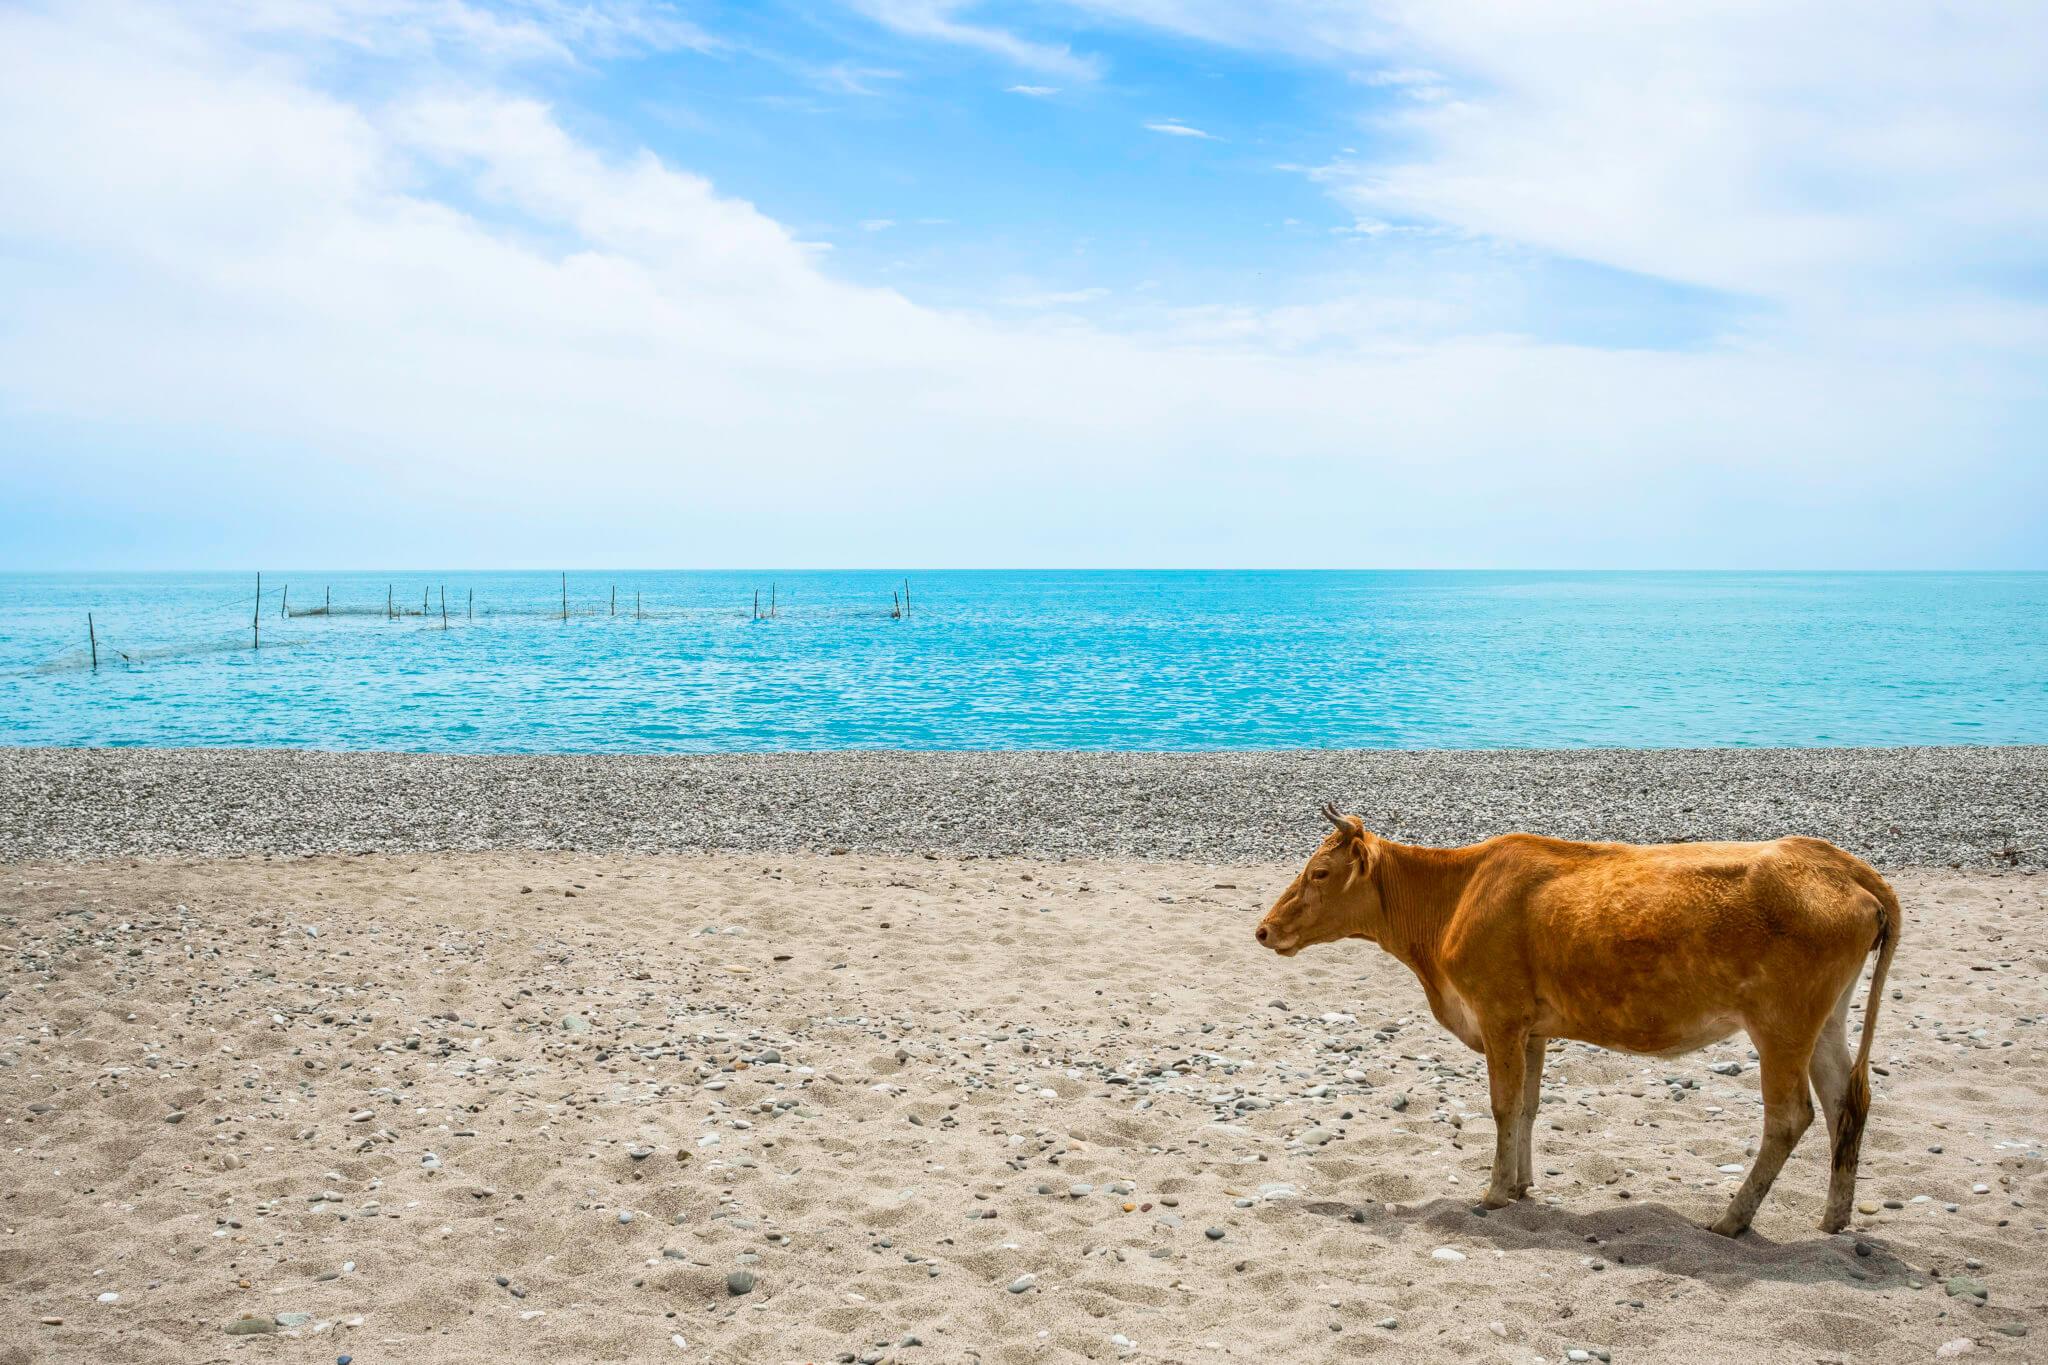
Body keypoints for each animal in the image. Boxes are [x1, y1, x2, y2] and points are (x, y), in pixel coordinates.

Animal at [1254, 805, 1899, 1237]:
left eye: (1318, 872)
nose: (1263, 929)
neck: (1455, 897)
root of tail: (1836, 861)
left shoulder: (1498, 1014)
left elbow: (1503, 1104)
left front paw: (1494, 1192)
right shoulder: (1532, 1027)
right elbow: (1529, 1105)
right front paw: (1521, 1184)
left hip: (1782, 1023)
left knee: (1790, 1116)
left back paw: (1731, 1219)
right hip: (1826, 1020)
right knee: (1846, 1102)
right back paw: (1833, 1218)